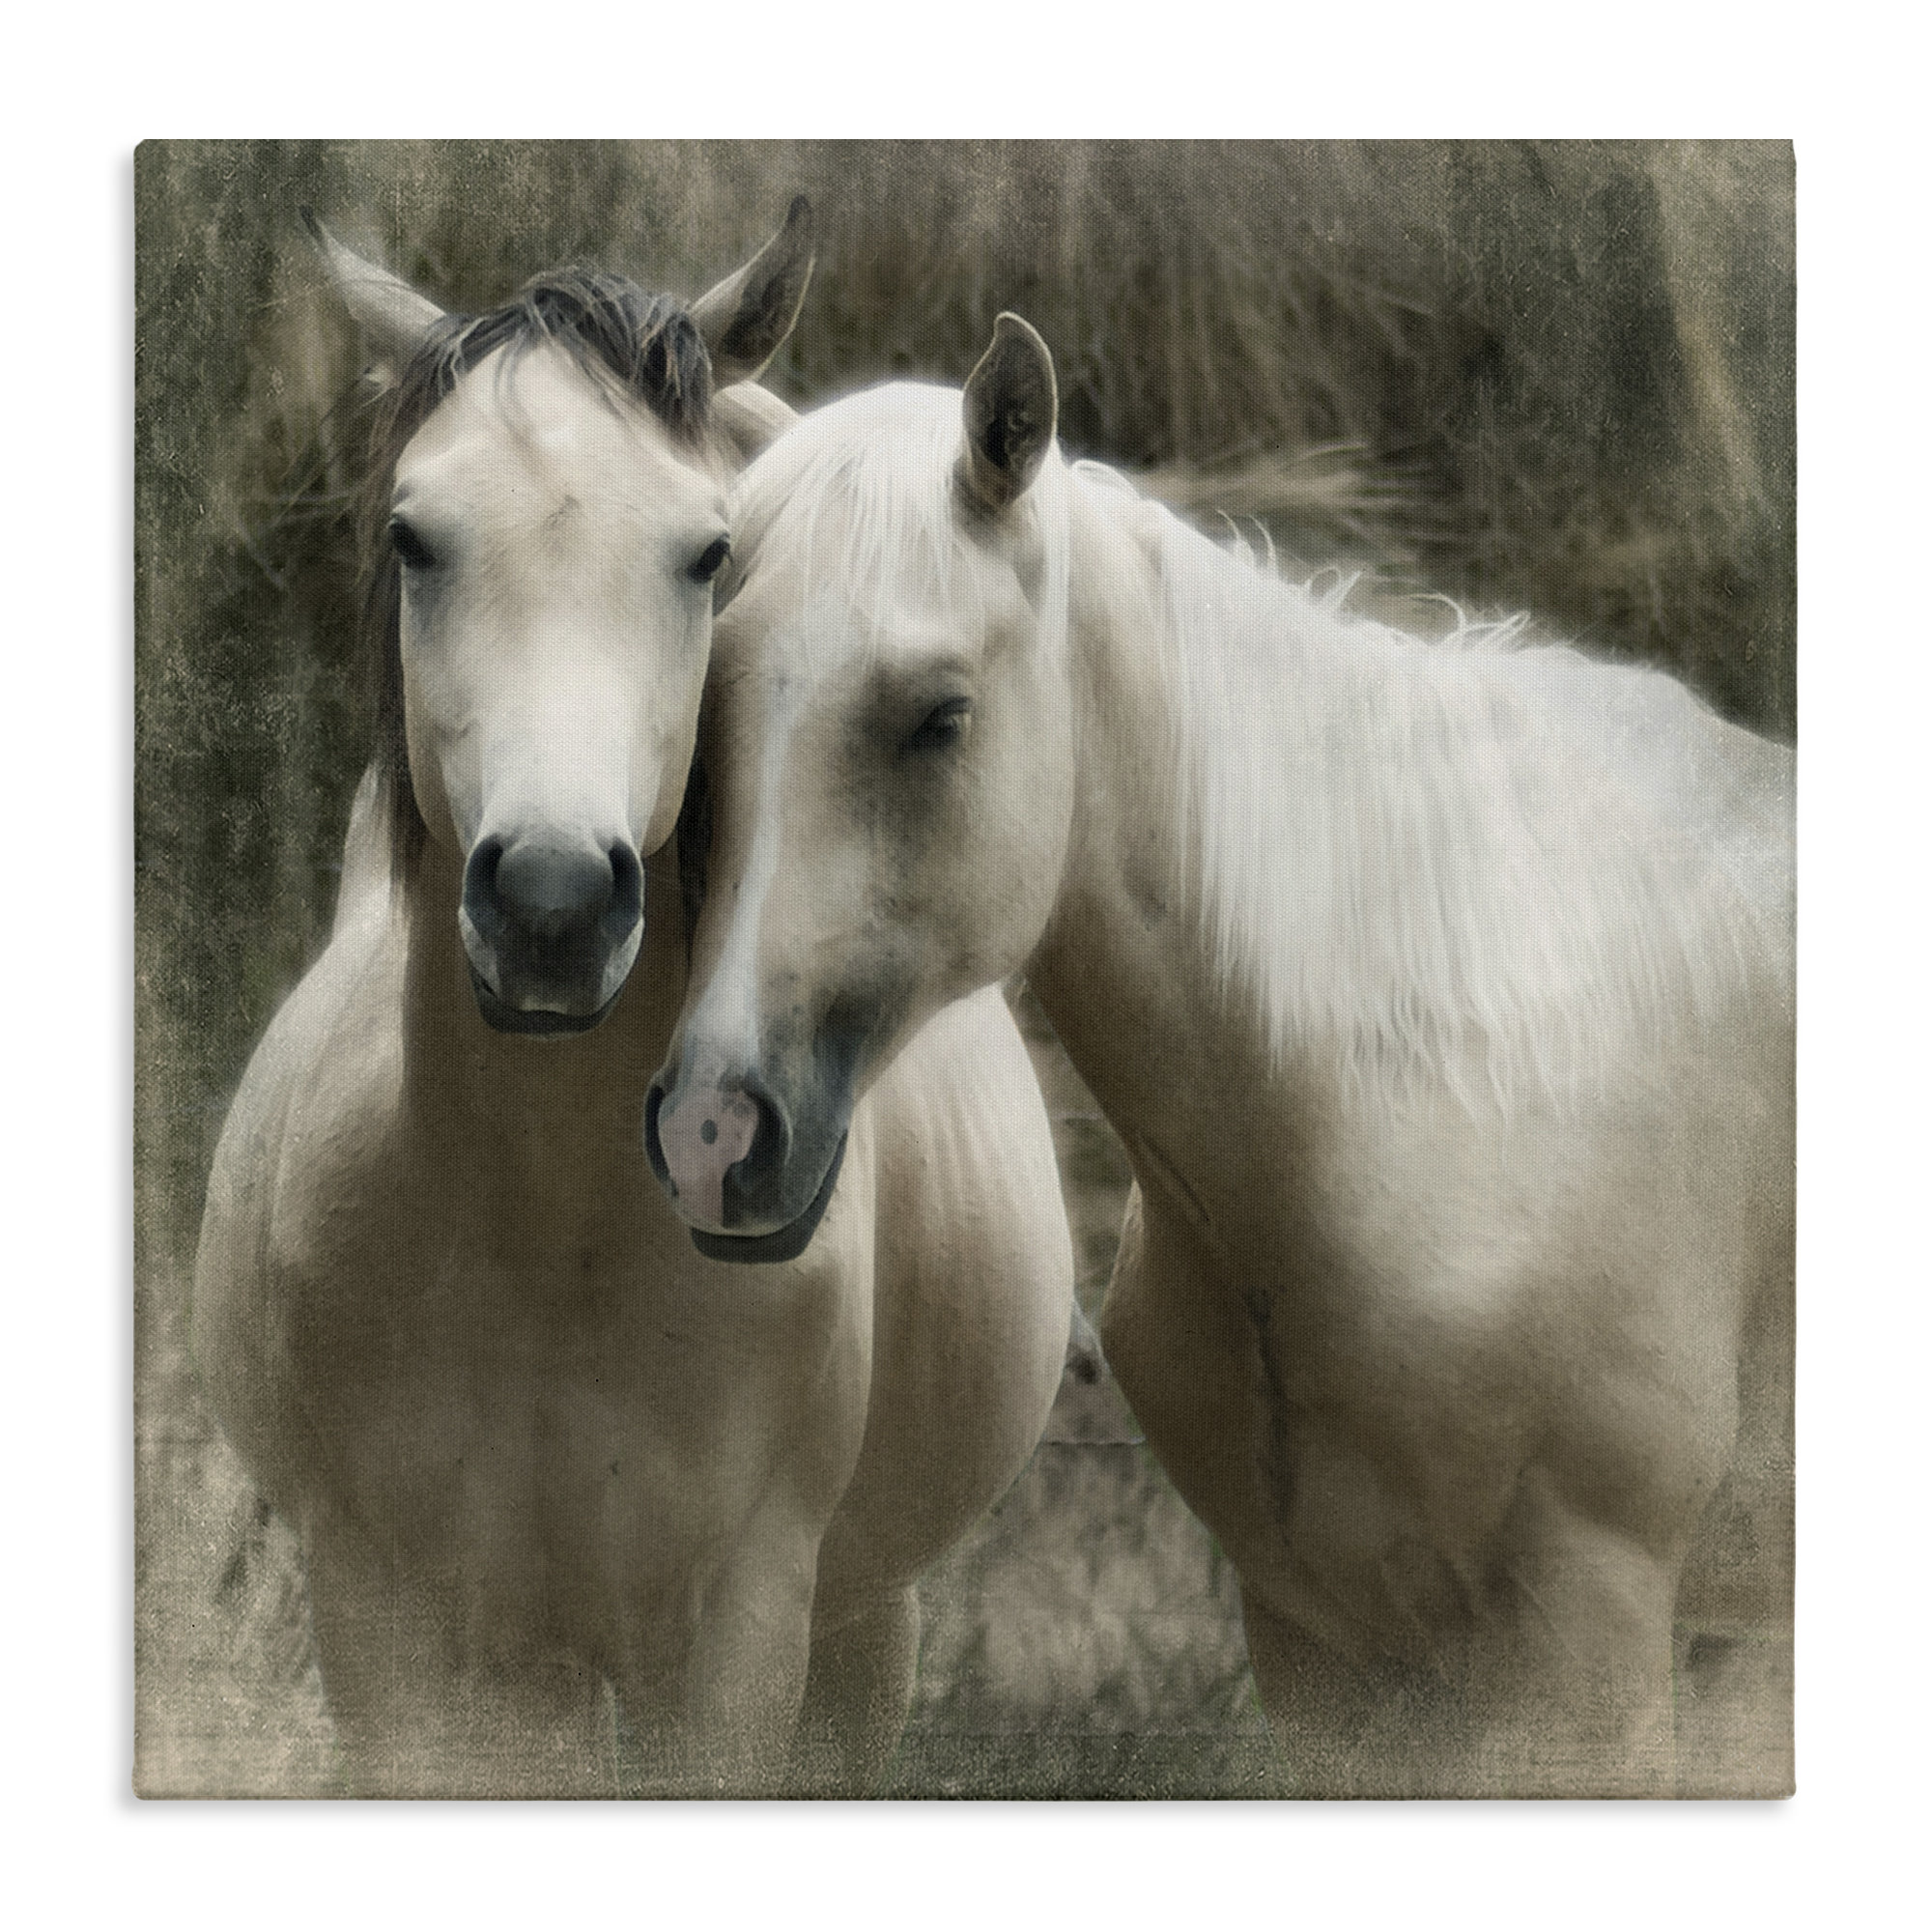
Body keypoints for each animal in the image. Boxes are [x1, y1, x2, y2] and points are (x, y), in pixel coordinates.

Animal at [191, 224, 1075, 1797]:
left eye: (706, 553)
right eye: (412, 538)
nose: (551, 901)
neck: (549, 1242)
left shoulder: (730, 1646)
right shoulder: (395, 1637)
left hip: (863, 1627)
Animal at [645, 315, 1795, 1797]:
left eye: (938, 715)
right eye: (706, 722)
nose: (712, 1133)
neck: (1445, 1091)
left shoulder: (1586, 1656)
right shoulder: (1327, 1654)